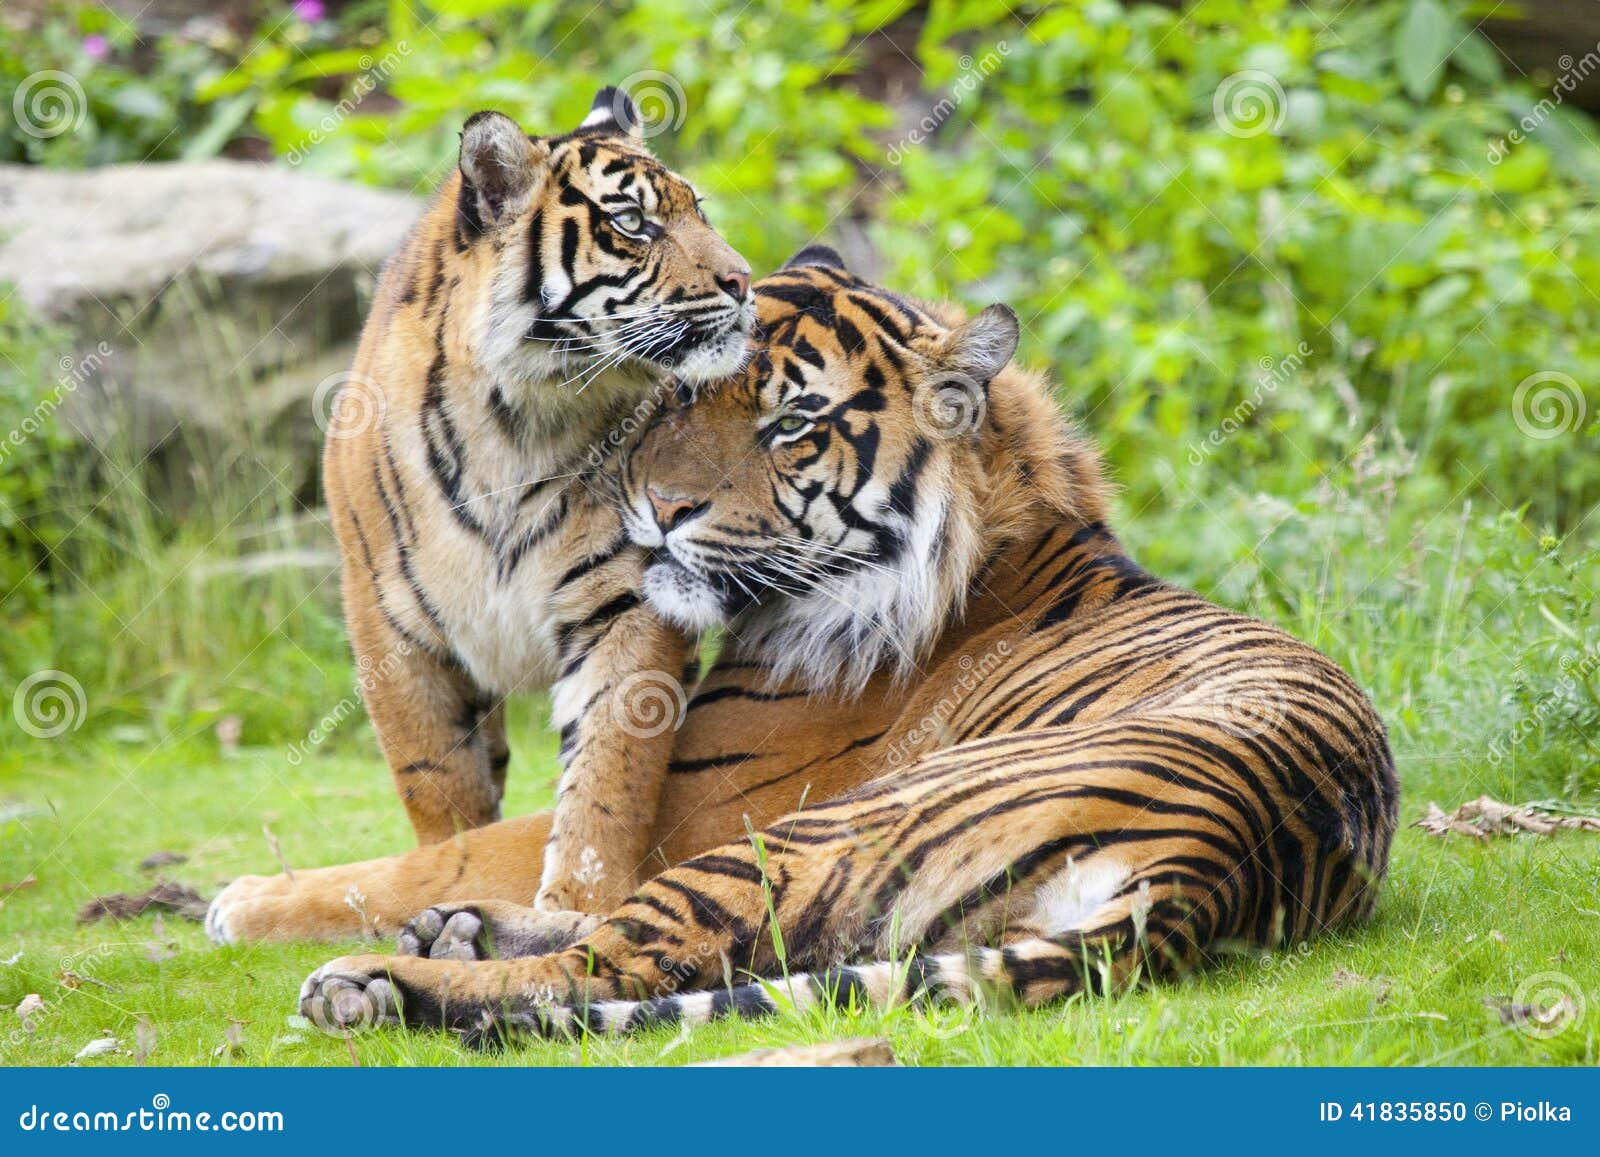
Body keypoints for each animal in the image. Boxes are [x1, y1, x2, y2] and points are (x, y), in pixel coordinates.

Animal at [210, 88, 753, 924]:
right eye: (634, 222)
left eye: (701, 210)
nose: (745, 280)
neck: (529, 414)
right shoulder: (392, 628)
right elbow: (439, 788)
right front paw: (447, 873)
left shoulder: (628, 605)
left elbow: (609, 770)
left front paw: (579, 902)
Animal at [290, 252, 1399, 1041]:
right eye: (682, 394)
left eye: (791, 422)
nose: (659, 507)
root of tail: (1204, 868)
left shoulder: (701, 802)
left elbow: (479, 854)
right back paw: (453, 930)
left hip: (805, 834)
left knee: (601, 968)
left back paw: (375, 981)